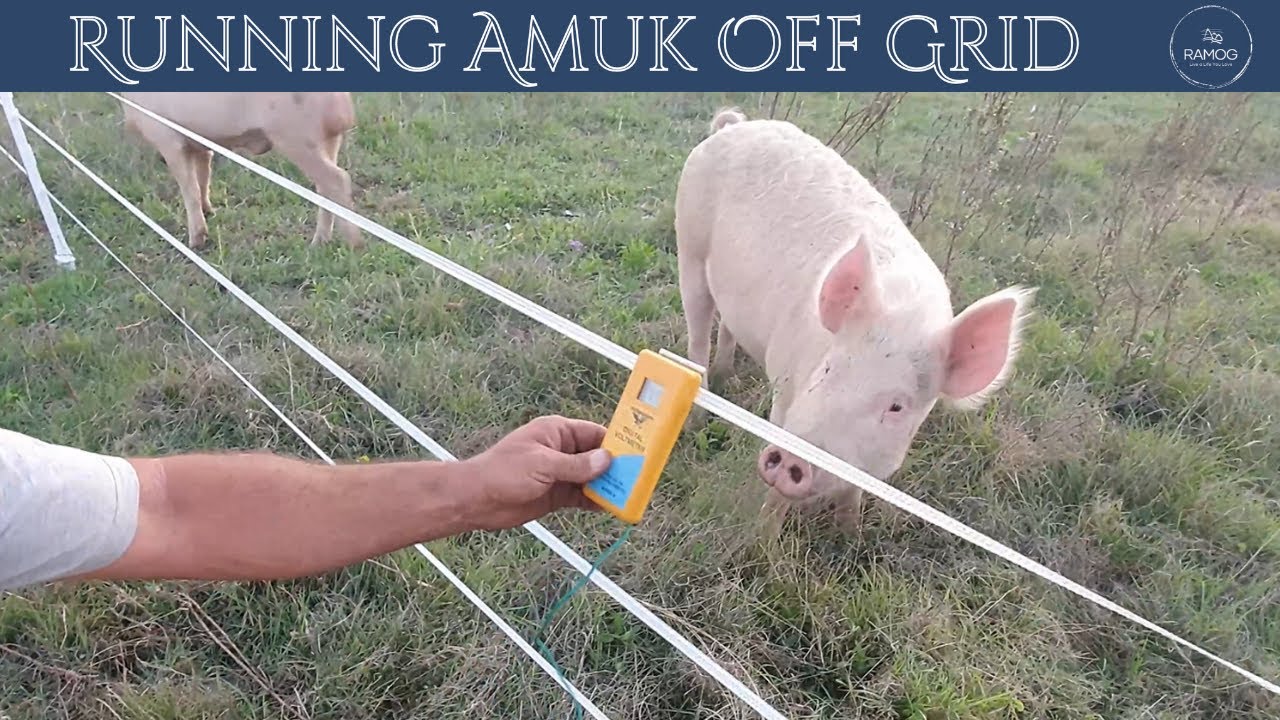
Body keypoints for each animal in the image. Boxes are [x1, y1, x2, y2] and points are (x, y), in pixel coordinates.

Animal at [119, 92, 362, 250]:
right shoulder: (200, 141)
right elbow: (203, 174)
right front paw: (210, 211)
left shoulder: (166, 136)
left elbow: (189, 188)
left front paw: (195, 242)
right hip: (329, 140)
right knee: (325, 189)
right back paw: (320, 243)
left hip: (296, 137)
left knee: (337, 179)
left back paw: (350, 244)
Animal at [674, 108, 1035, 535]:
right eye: (828, 370)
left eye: (896, 406)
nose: (794, 459)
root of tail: (735, 126)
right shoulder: (787, 393)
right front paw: (764, 535)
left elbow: (854, 492)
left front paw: (850, 533)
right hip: (689, 247)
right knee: (697, 335)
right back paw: (698, 415)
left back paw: (728, 374)